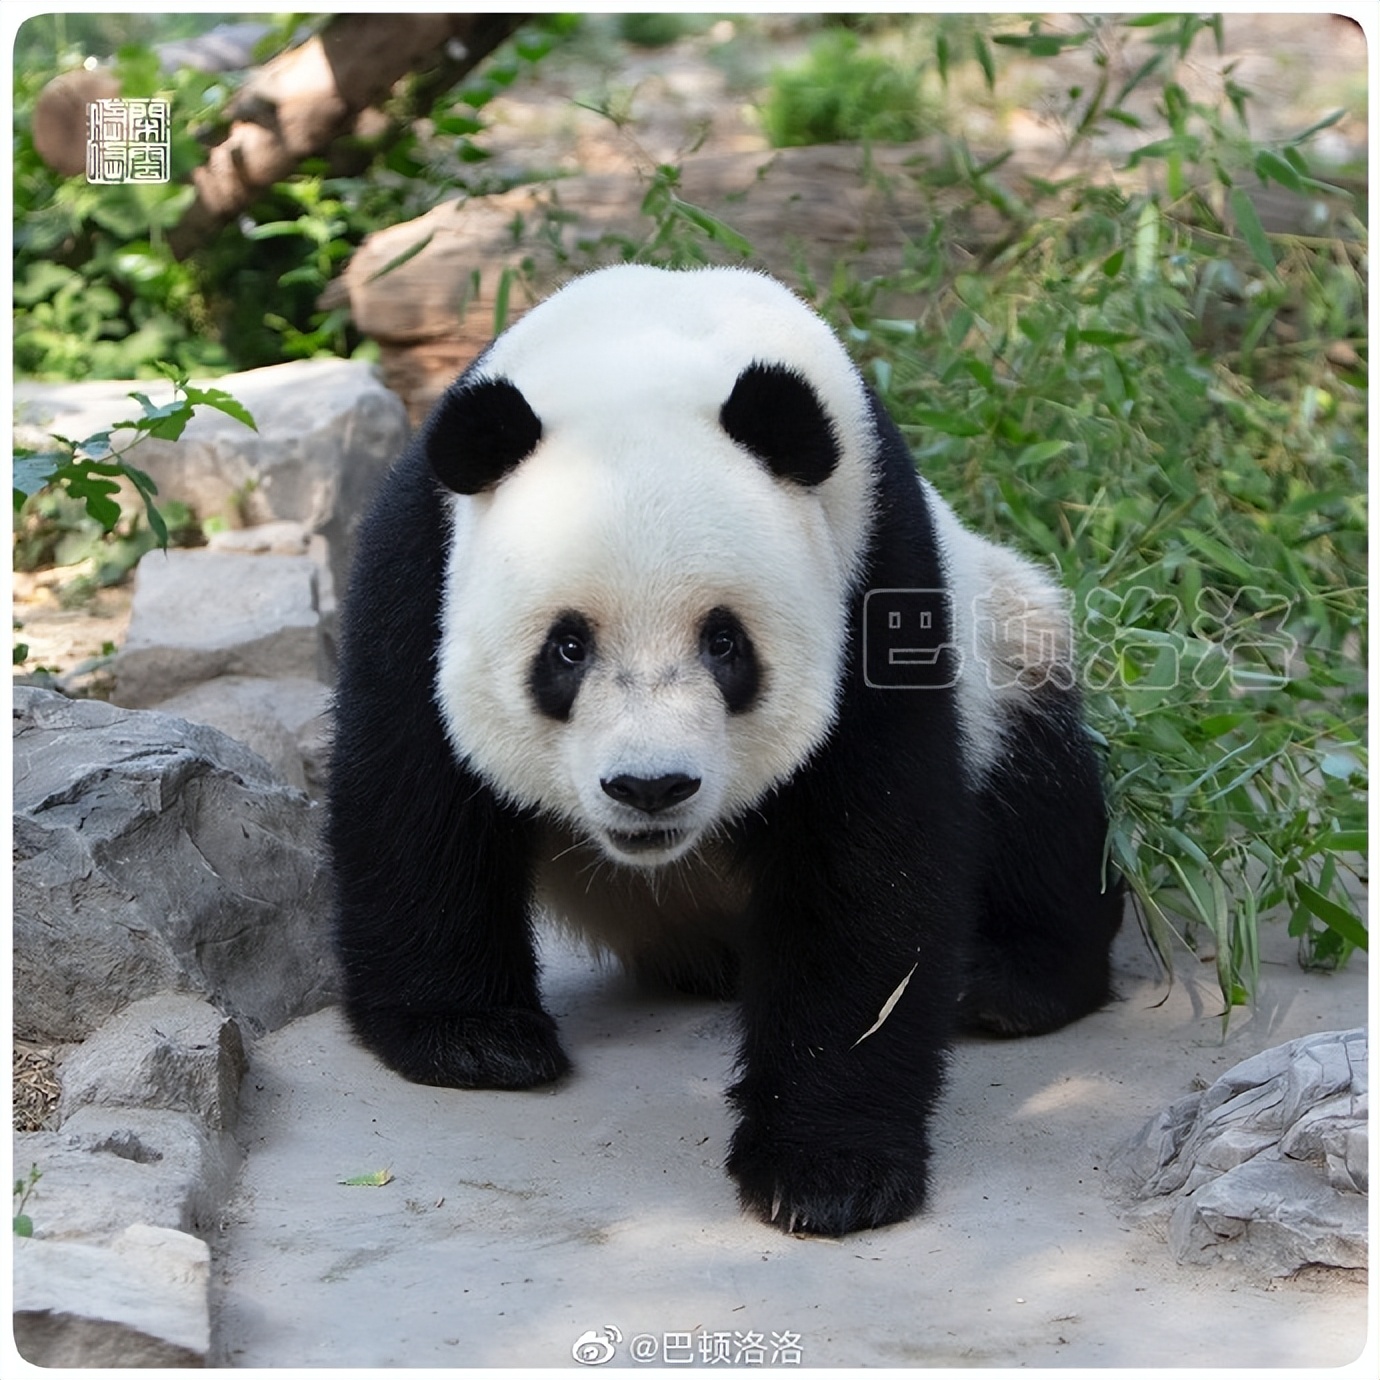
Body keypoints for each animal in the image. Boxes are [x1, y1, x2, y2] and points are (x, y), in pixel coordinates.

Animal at [329, 264, 1123, 1237]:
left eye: (724, 644)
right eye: (566, 647)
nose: (650, 787)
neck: (652, 342)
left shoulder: (878, 571)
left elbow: (869, 861)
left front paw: (825, 1172)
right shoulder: (424, 557)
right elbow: (414, 787)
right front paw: (469, 1037)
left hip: (1009, 640)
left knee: (1043, 798)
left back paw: (1010, 980)